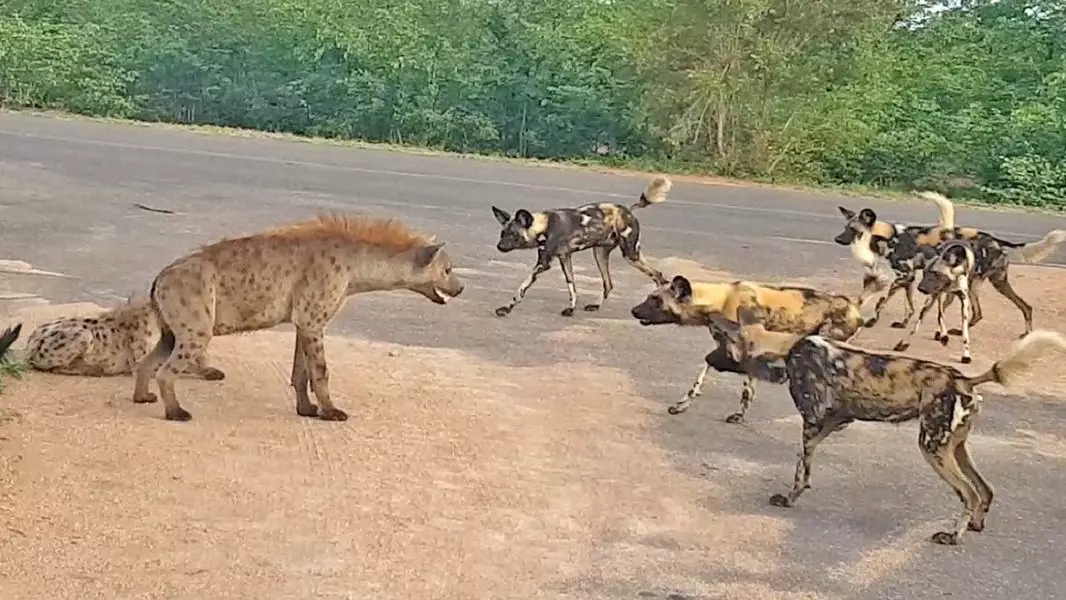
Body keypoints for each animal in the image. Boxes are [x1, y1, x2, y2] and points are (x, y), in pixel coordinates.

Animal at [0, 298, 222, 377]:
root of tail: (31, 344)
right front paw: (209, 371)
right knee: (58, 367)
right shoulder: (140, 360)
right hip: (83, 334)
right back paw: (94, 369)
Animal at [130, 213, 462, 424]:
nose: (461, 288)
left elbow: (301, 372)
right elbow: (321, 371)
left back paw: (143, 397)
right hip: (196, 326)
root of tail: (160, 277)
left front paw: (307, 409)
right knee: (167, 369)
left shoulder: (304, 321)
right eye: (447, 270)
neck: (355, 265)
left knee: (149, 361)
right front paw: (332, 412)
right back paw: (176, 413)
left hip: (172, 330)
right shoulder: (314, 318)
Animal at [488, 175, 669, 317]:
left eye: (514, 235)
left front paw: (506, 308)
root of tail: (628, 211)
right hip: (600, 254)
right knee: (609, 284)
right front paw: (571, 309)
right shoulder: (564, 258)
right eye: (502, 233)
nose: (499, 246)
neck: (544, 226)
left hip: (630, 255)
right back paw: (595, 306)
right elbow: (572, 286)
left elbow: (521, 289)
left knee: (658, 276)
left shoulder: (543, 264)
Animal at [626, 267, 886, 422]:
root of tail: (853, 303)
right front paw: (684, 406)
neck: (720, 301)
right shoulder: (731, 351)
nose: (633, 310)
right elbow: (726, 386)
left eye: (656, 300)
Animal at [699, 306, 1066, 545]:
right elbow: (806, 466)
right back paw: (974, 526)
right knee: (985, 489)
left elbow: (800, 471)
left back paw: (953, 536)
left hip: (932, 448)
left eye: (718, 345)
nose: (705, 359)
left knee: (970, 493)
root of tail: (963, 378)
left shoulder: (811, 423)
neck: (787, 348)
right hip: (954, 446)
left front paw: (789, 499)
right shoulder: (835, 421)